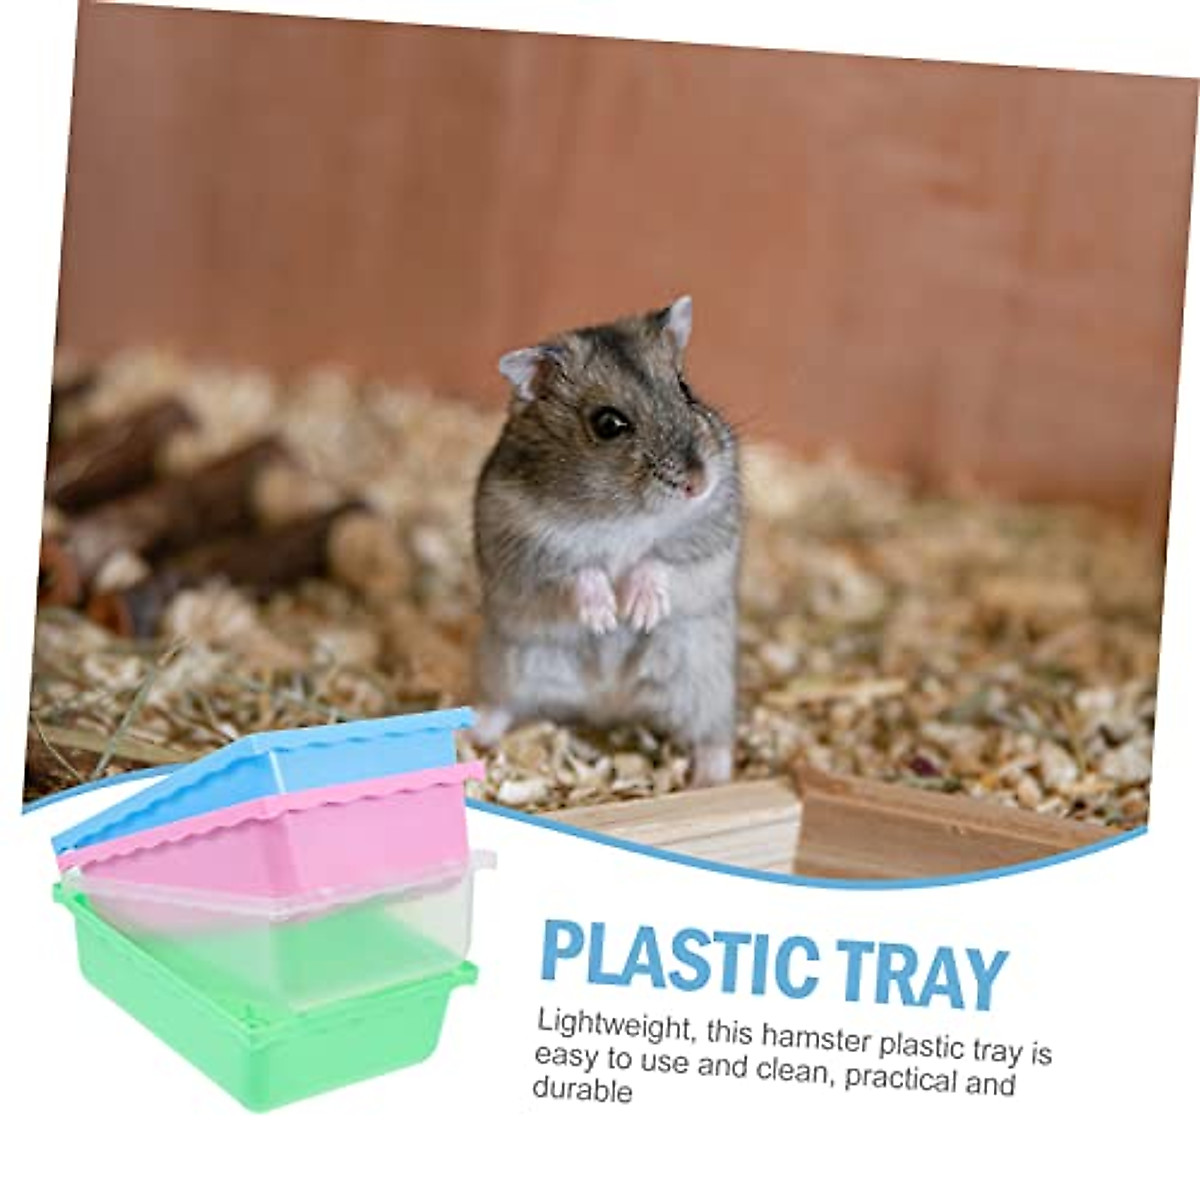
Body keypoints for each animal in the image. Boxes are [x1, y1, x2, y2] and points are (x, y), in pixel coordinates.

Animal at [471, 295, 742, 787]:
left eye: (685, 388)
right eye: (608, 424)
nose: (698, 483)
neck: (622, 516)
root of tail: (608, 705)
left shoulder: (709, 535)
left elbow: (658, 561)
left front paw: (637, 612)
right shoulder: (524, 544)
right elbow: (579, 571)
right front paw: (604, 619)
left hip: (703, 682)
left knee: (713, 738)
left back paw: (711, 780)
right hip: (508, 667)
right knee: (502, 707)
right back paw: (472, 734)